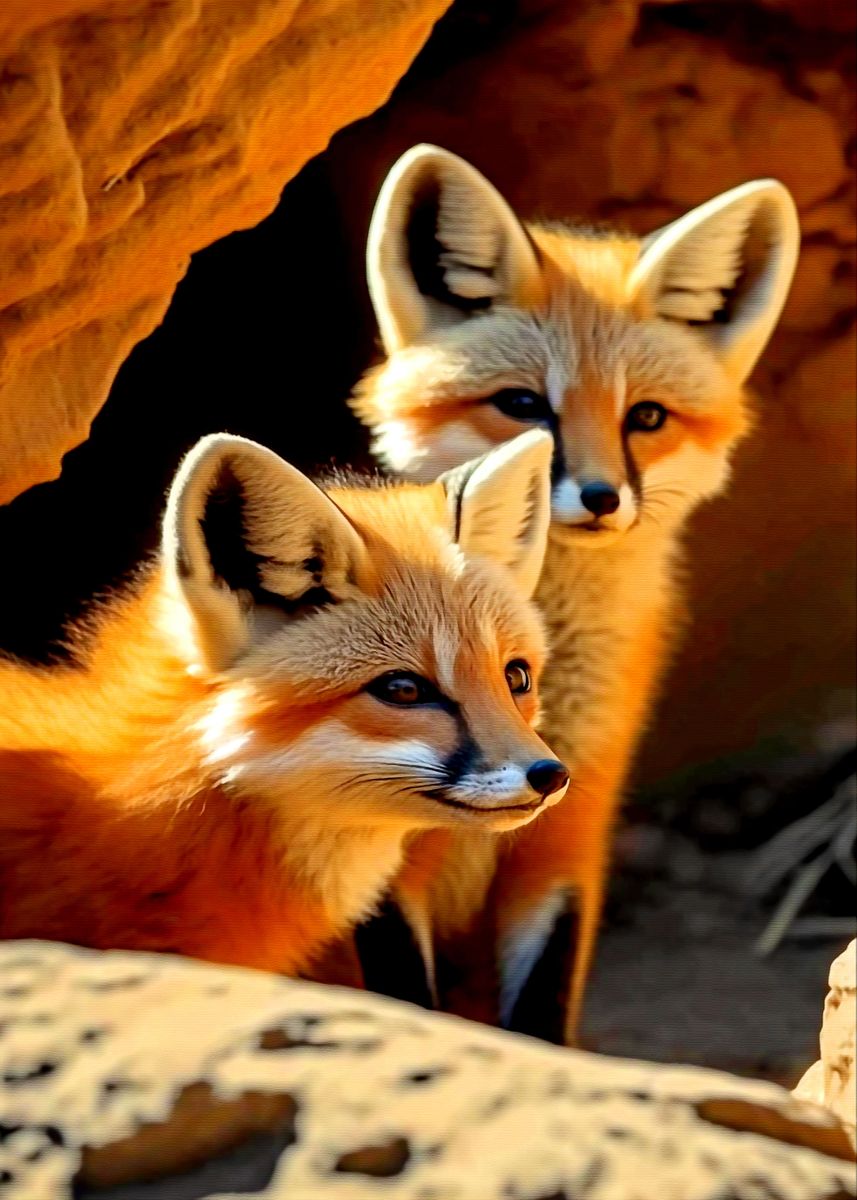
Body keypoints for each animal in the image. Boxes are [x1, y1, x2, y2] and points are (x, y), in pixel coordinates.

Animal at [348, 144, 800, 1041]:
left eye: (645, 418)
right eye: (522, 405)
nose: (598, 497)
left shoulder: (568, 830)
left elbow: (542, 1007)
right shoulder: (379, 852)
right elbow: (407, 1003)